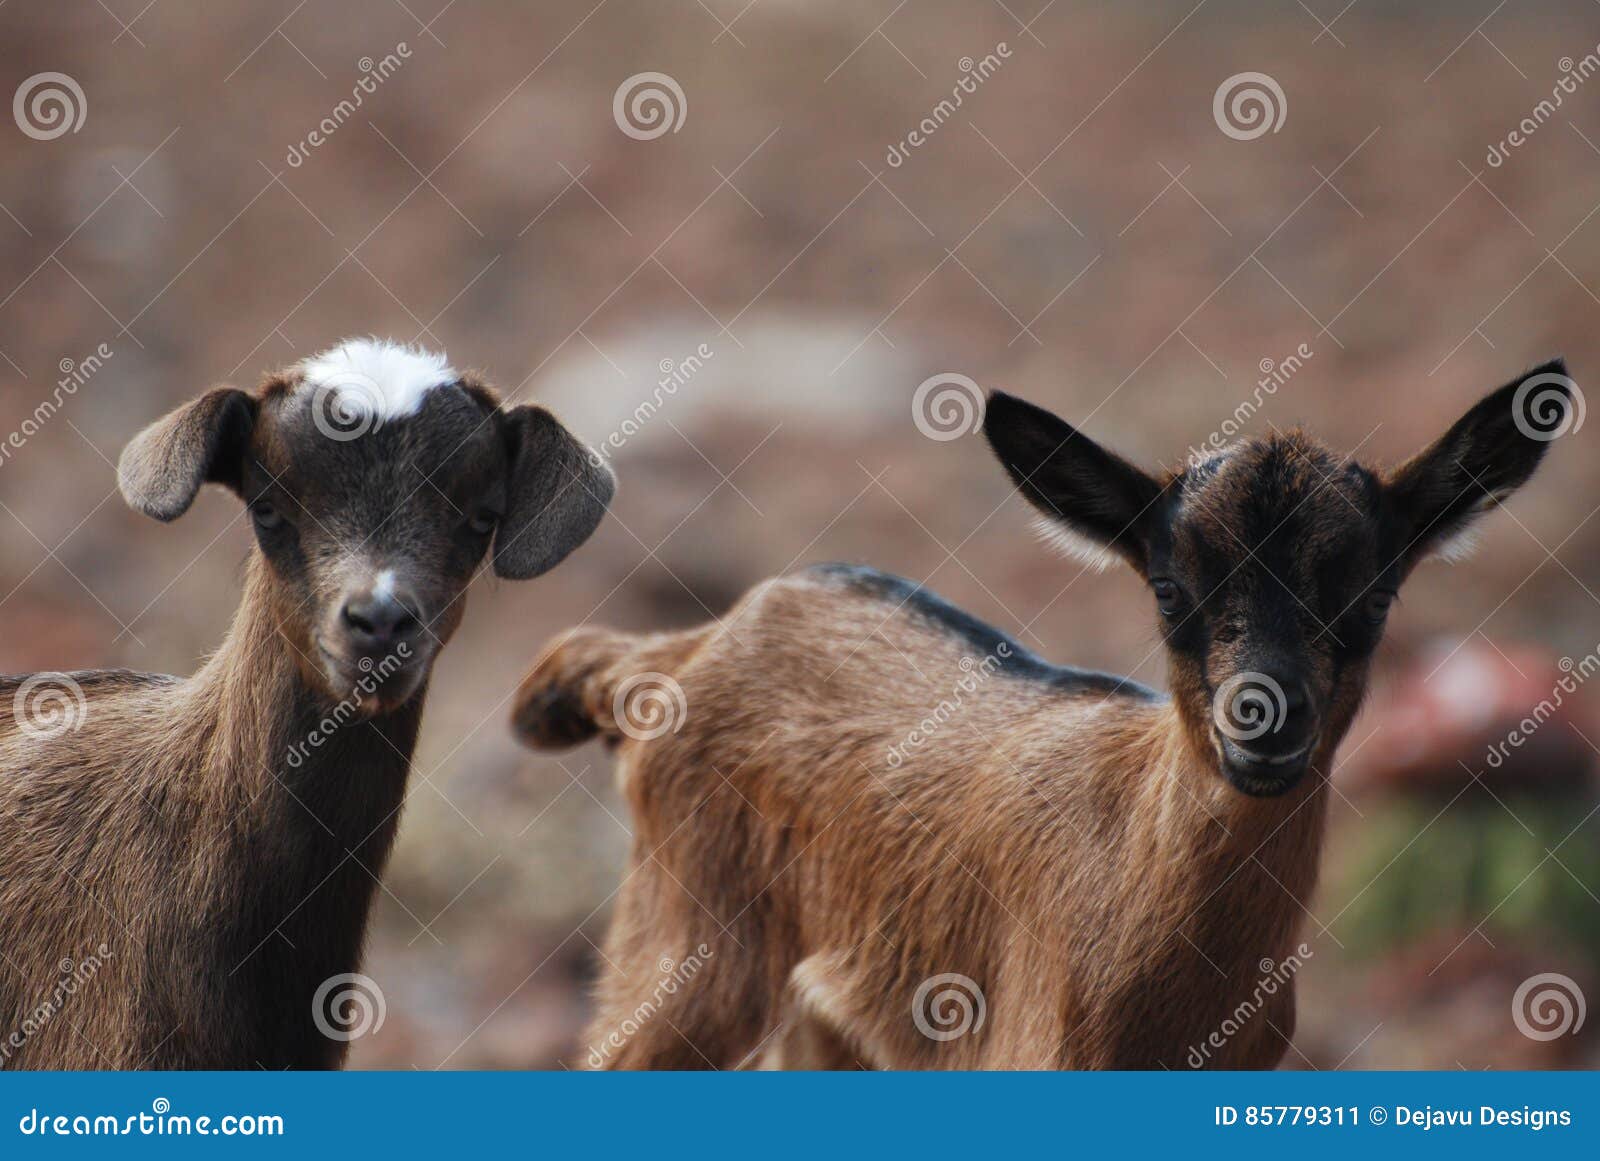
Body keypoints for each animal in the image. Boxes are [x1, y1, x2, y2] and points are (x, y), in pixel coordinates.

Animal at [513, 360, 1571, 1069]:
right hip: (688, 957)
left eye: (1374, 596)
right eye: (1169, 589)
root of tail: (680, 652)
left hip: (828, 1016)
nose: (1263, 720)